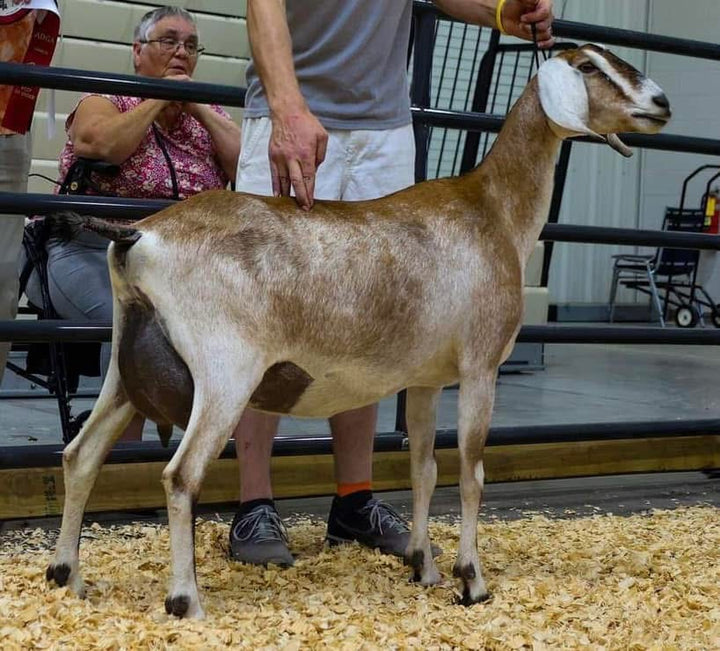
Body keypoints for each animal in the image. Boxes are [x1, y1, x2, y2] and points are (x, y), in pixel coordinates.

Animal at [46, 45, 670, 619]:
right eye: (589, 67)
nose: (661, 103)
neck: (492, 209)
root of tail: (140, 237)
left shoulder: (426, 379)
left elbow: (424, 469)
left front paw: (423, 566)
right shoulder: (480, 365)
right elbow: (471, 472)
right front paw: (472, 581)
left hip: (124, 369)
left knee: (81, 455)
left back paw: (66, 577)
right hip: (225, 373)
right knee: (180, 476)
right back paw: (185, 600)